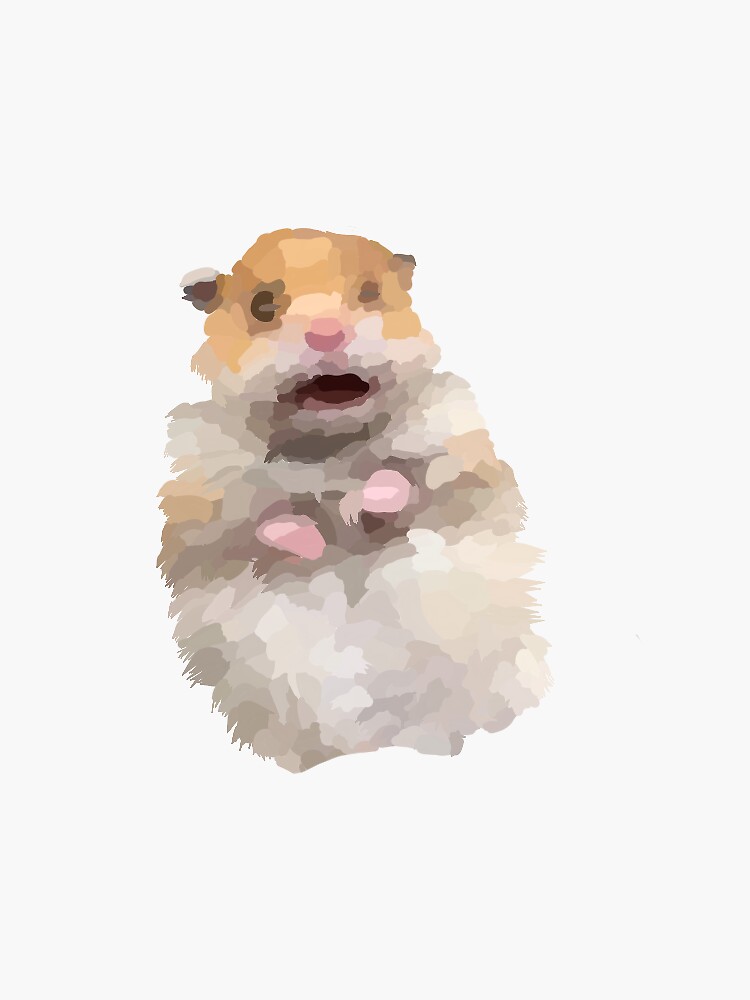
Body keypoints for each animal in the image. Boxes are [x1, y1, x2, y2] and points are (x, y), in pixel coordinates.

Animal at [159, 229, 550, 772]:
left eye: (369, 293)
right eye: (262, 306)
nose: (327, 334)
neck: (330, 443)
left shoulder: (463, 464)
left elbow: (404, 483)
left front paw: (356, 506)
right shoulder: (200, 508)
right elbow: (261, 524)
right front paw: (313, 542)